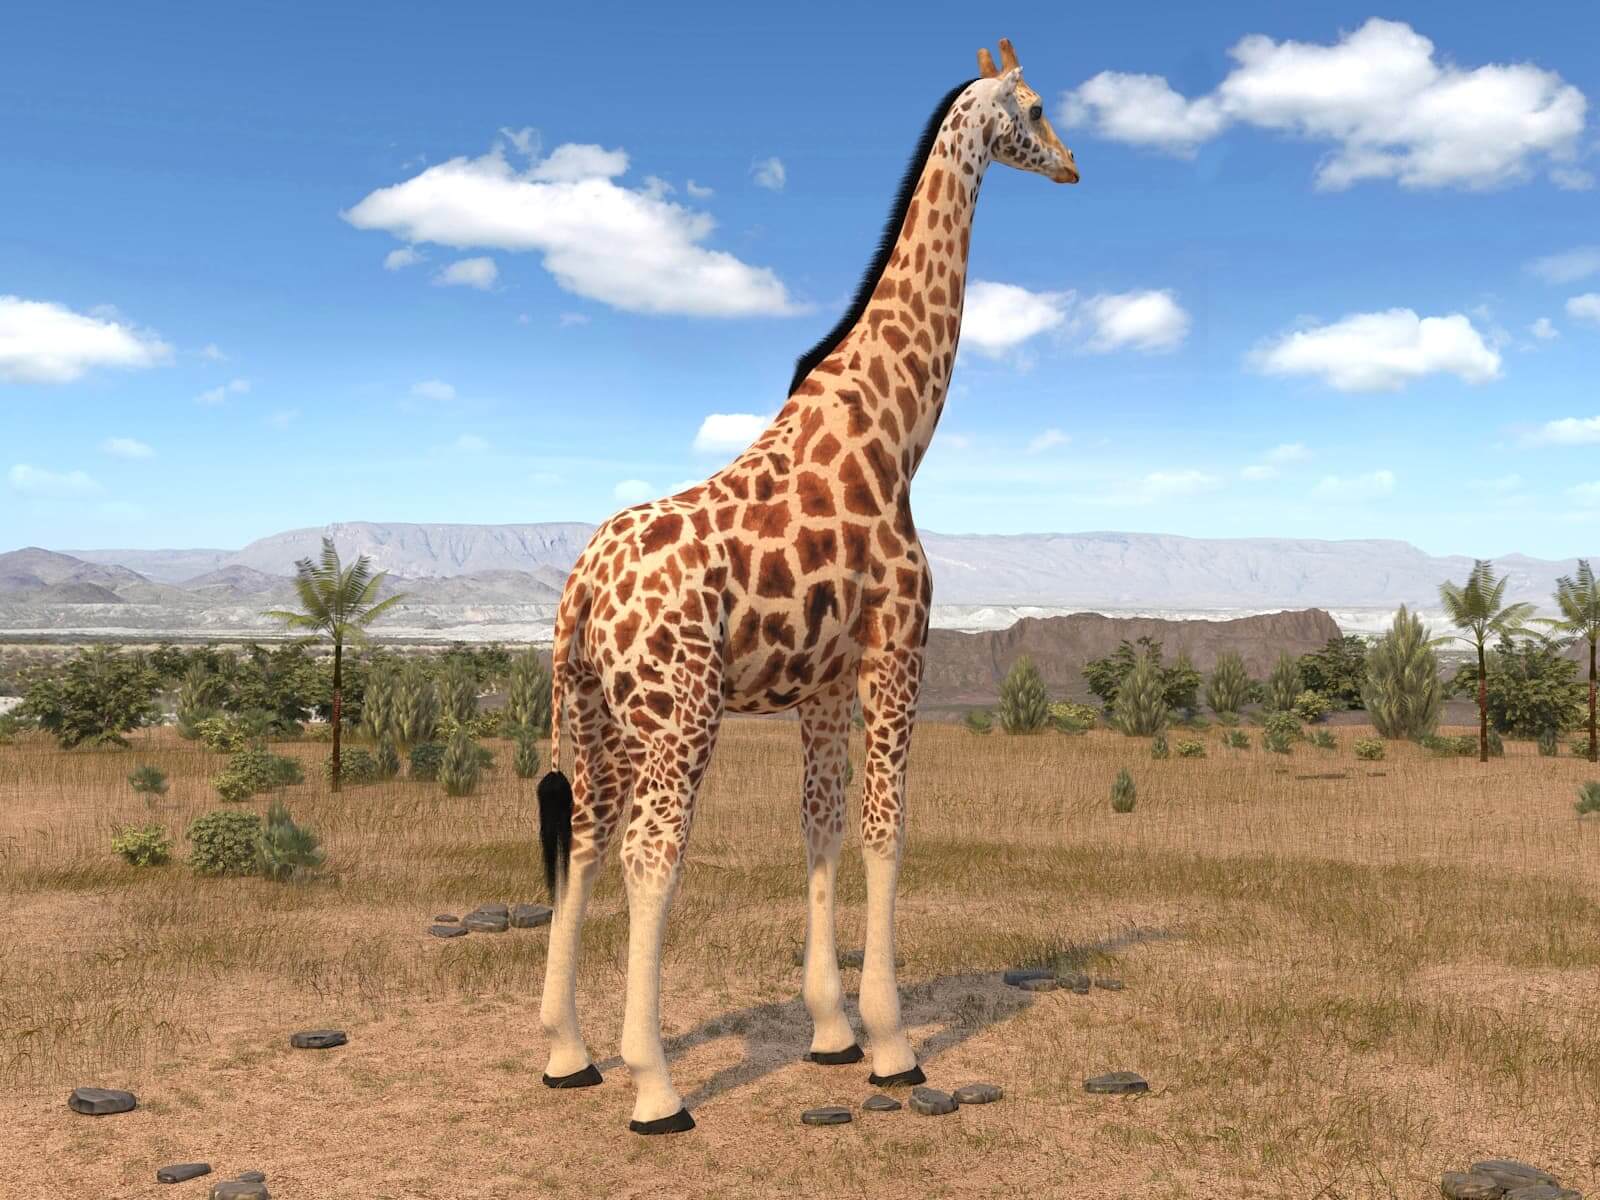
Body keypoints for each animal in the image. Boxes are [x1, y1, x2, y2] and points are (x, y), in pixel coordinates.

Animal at [535, 37, 1078, 1134]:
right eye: (1038, 108)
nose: (1074, 166)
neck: (899, 431)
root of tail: (580, 592)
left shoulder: (823, 686)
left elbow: (820, 832)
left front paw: (832, 1032)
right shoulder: (899, 652)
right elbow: (885, 833)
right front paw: (894, 1048)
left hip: (598, 713)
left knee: (583, 839)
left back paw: (569, 1055)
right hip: (681, 709)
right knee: (649, 856)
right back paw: (655, 1088)